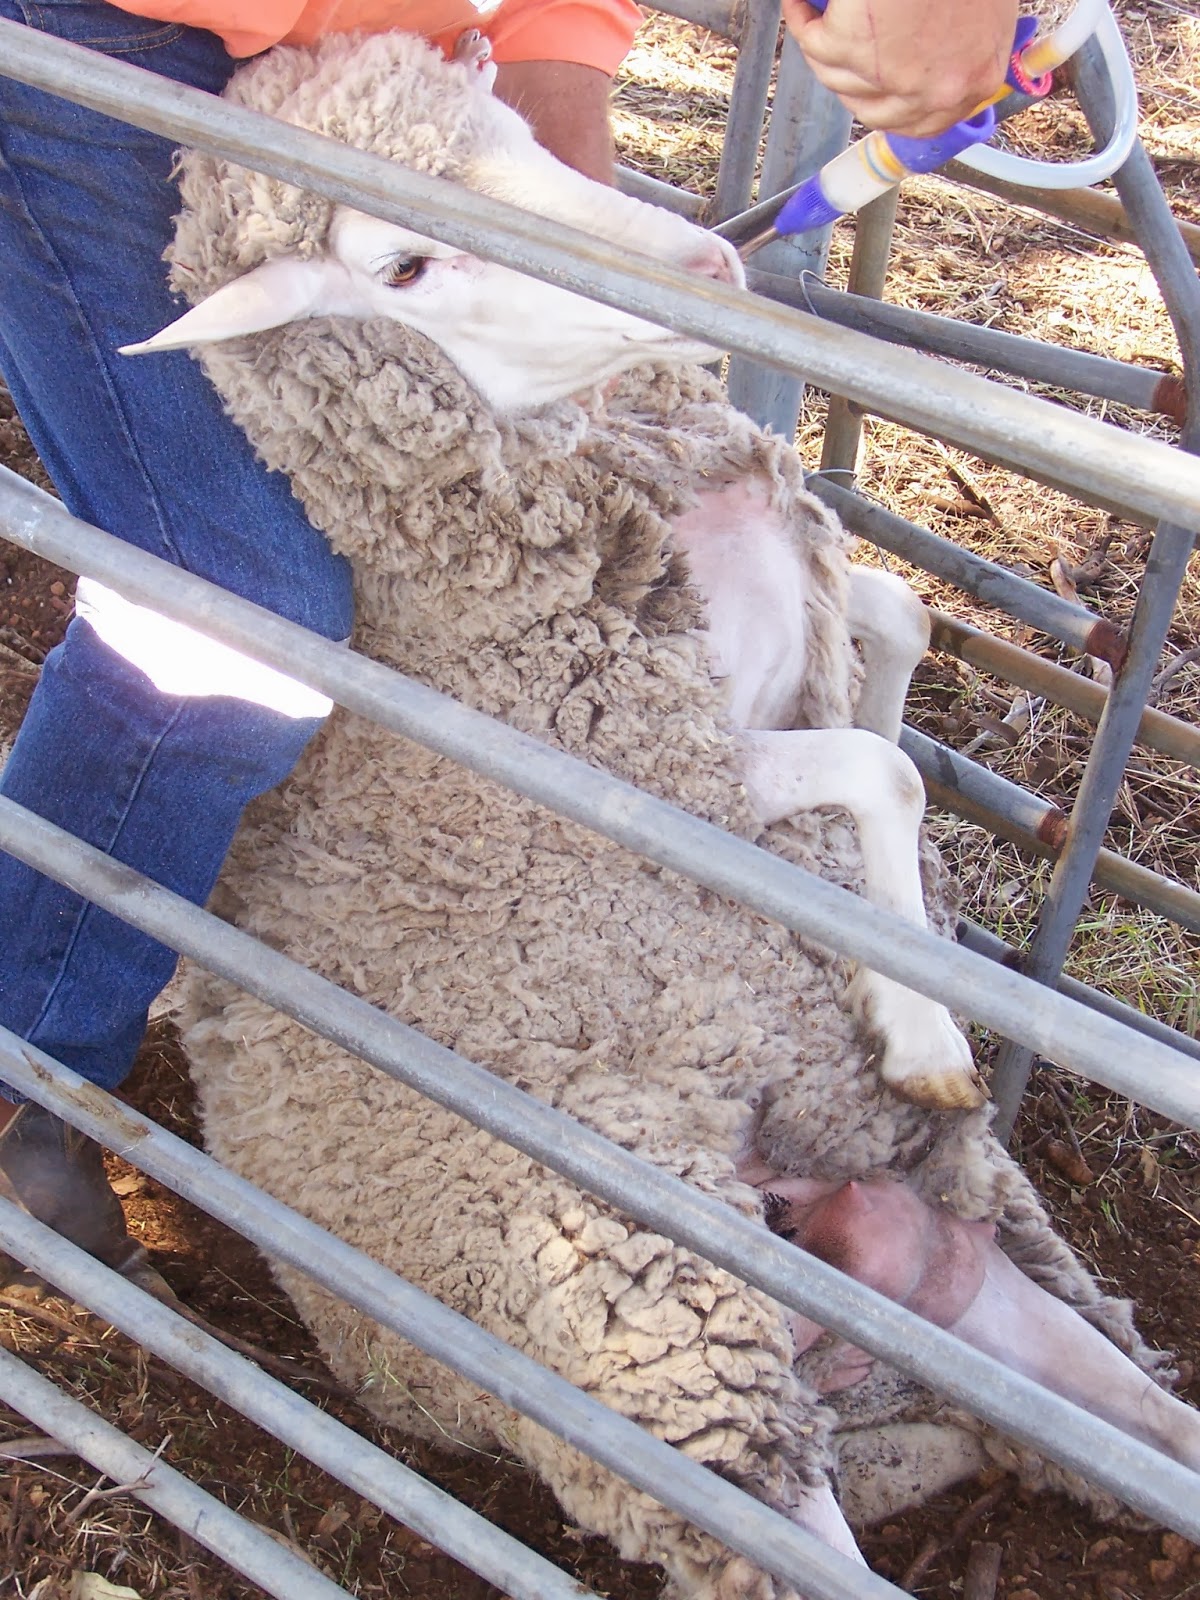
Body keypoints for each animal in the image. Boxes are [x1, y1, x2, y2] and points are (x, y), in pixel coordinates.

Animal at [116, 31, 1200, 1595]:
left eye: (512, 123)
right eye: (402, 267)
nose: (706, 259)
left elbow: (894, 627)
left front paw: (909, 960)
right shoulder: (668, 776)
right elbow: (880, 767)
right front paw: (925, 1028)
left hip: (960, 1267)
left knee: (1145, 1431)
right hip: (657, 1329)